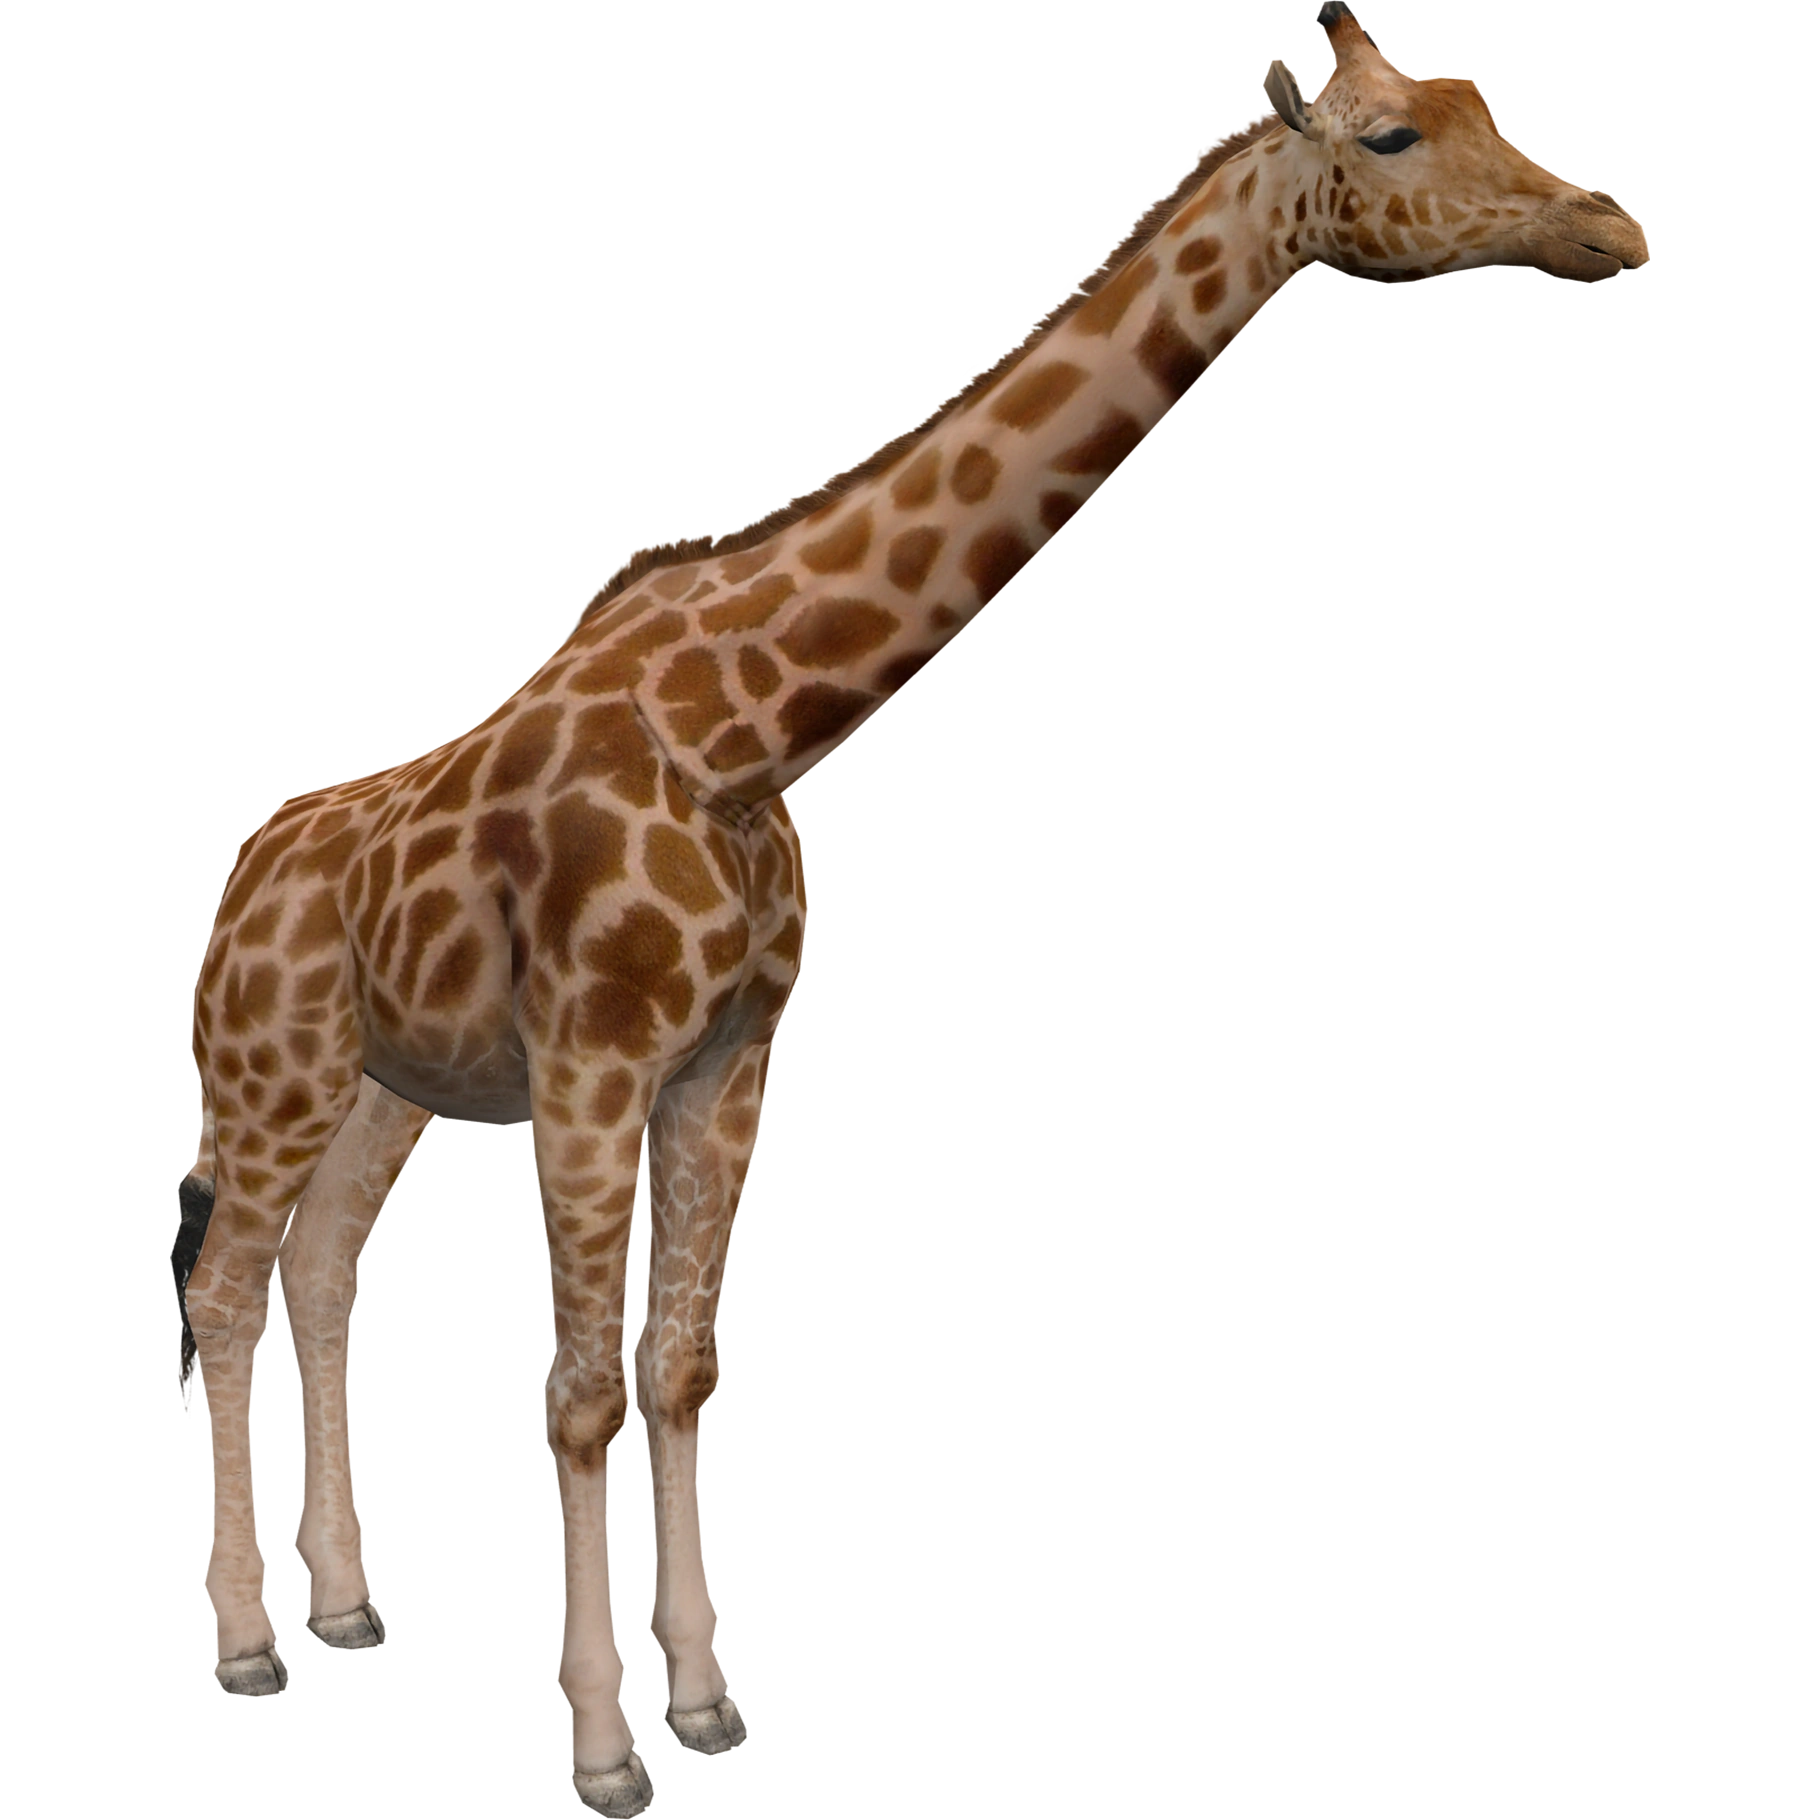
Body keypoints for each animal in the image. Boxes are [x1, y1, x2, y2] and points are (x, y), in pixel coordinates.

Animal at [176, 10, 1647, 1815]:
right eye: (1384, 137)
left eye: (1484, 100)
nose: (1617, 229)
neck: (740, 720)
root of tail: (242, 877)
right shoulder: (592, 1068)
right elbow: (584, 1395)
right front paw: (600, 1746)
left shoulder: (722, 1073)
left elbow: (679, 1374)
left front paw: (705, 1701)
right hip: (274, 1069)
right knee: (220, 1287)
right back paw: (245, 1640)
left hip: (385, 1086)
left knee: (314, 1272)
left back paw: (341, 1608)